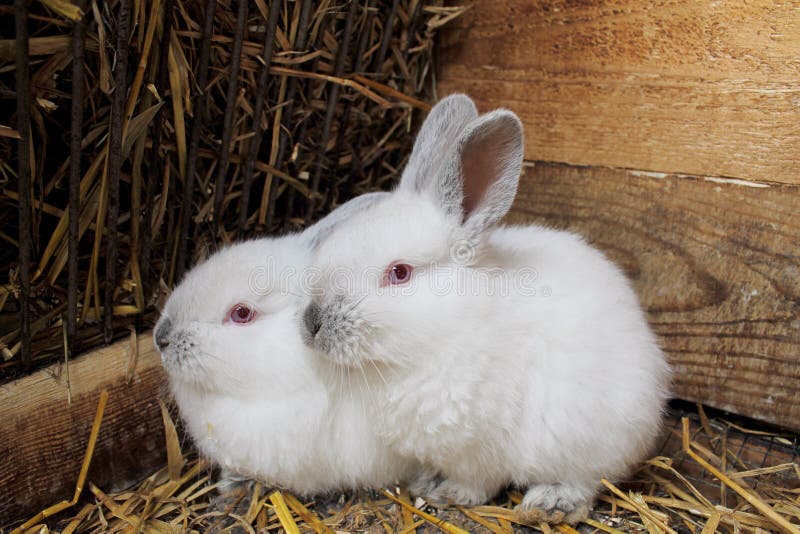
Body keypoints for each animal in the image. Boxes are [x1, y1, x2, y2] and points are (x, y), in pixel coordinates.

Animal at [302, 94, 672, 524]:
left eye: (400, 273)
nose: (310, 323)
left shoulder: (480, 450)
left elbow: (477, 482)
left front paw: (449, 493)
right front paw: (426, 481)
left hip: (590, 436)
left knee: (589, 479)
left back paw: (551, 503)